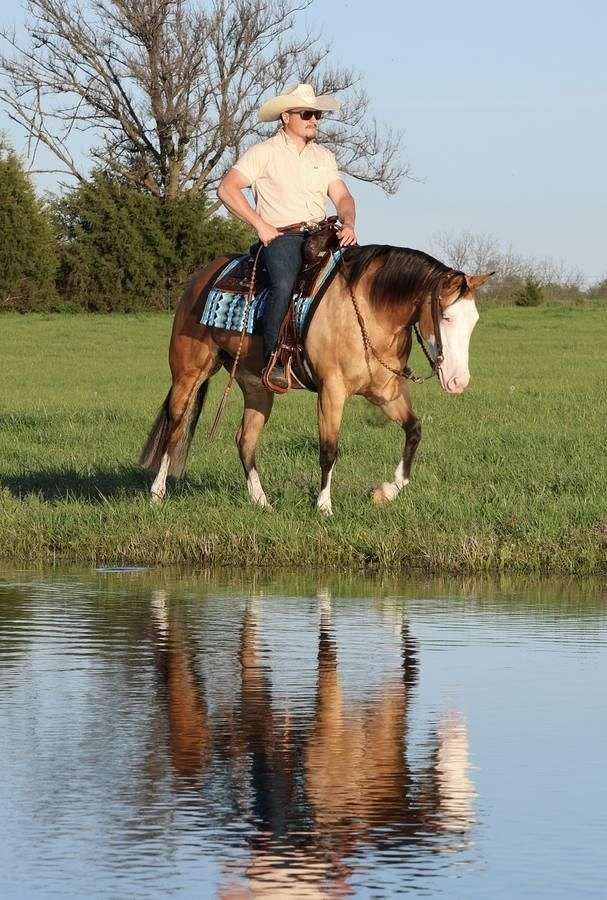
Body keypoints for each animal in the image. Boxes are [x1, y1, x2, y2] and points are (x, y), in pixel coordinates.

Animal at [139, 244, 491, 514]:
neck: (369, 310)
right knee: (175, 426)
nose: (459, 381)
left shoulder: (384, 392)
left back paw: (262, 503)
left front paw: (386, 491)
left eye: (474, 320)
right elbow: (329, 449)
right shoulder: (331, 391)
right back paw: (157, 494)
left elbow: (414, 430)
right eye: (446, 317)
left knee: (244, 440)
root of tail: (204, 276)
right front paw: (324, 507)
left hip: (256, 387)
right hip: (189, 373)